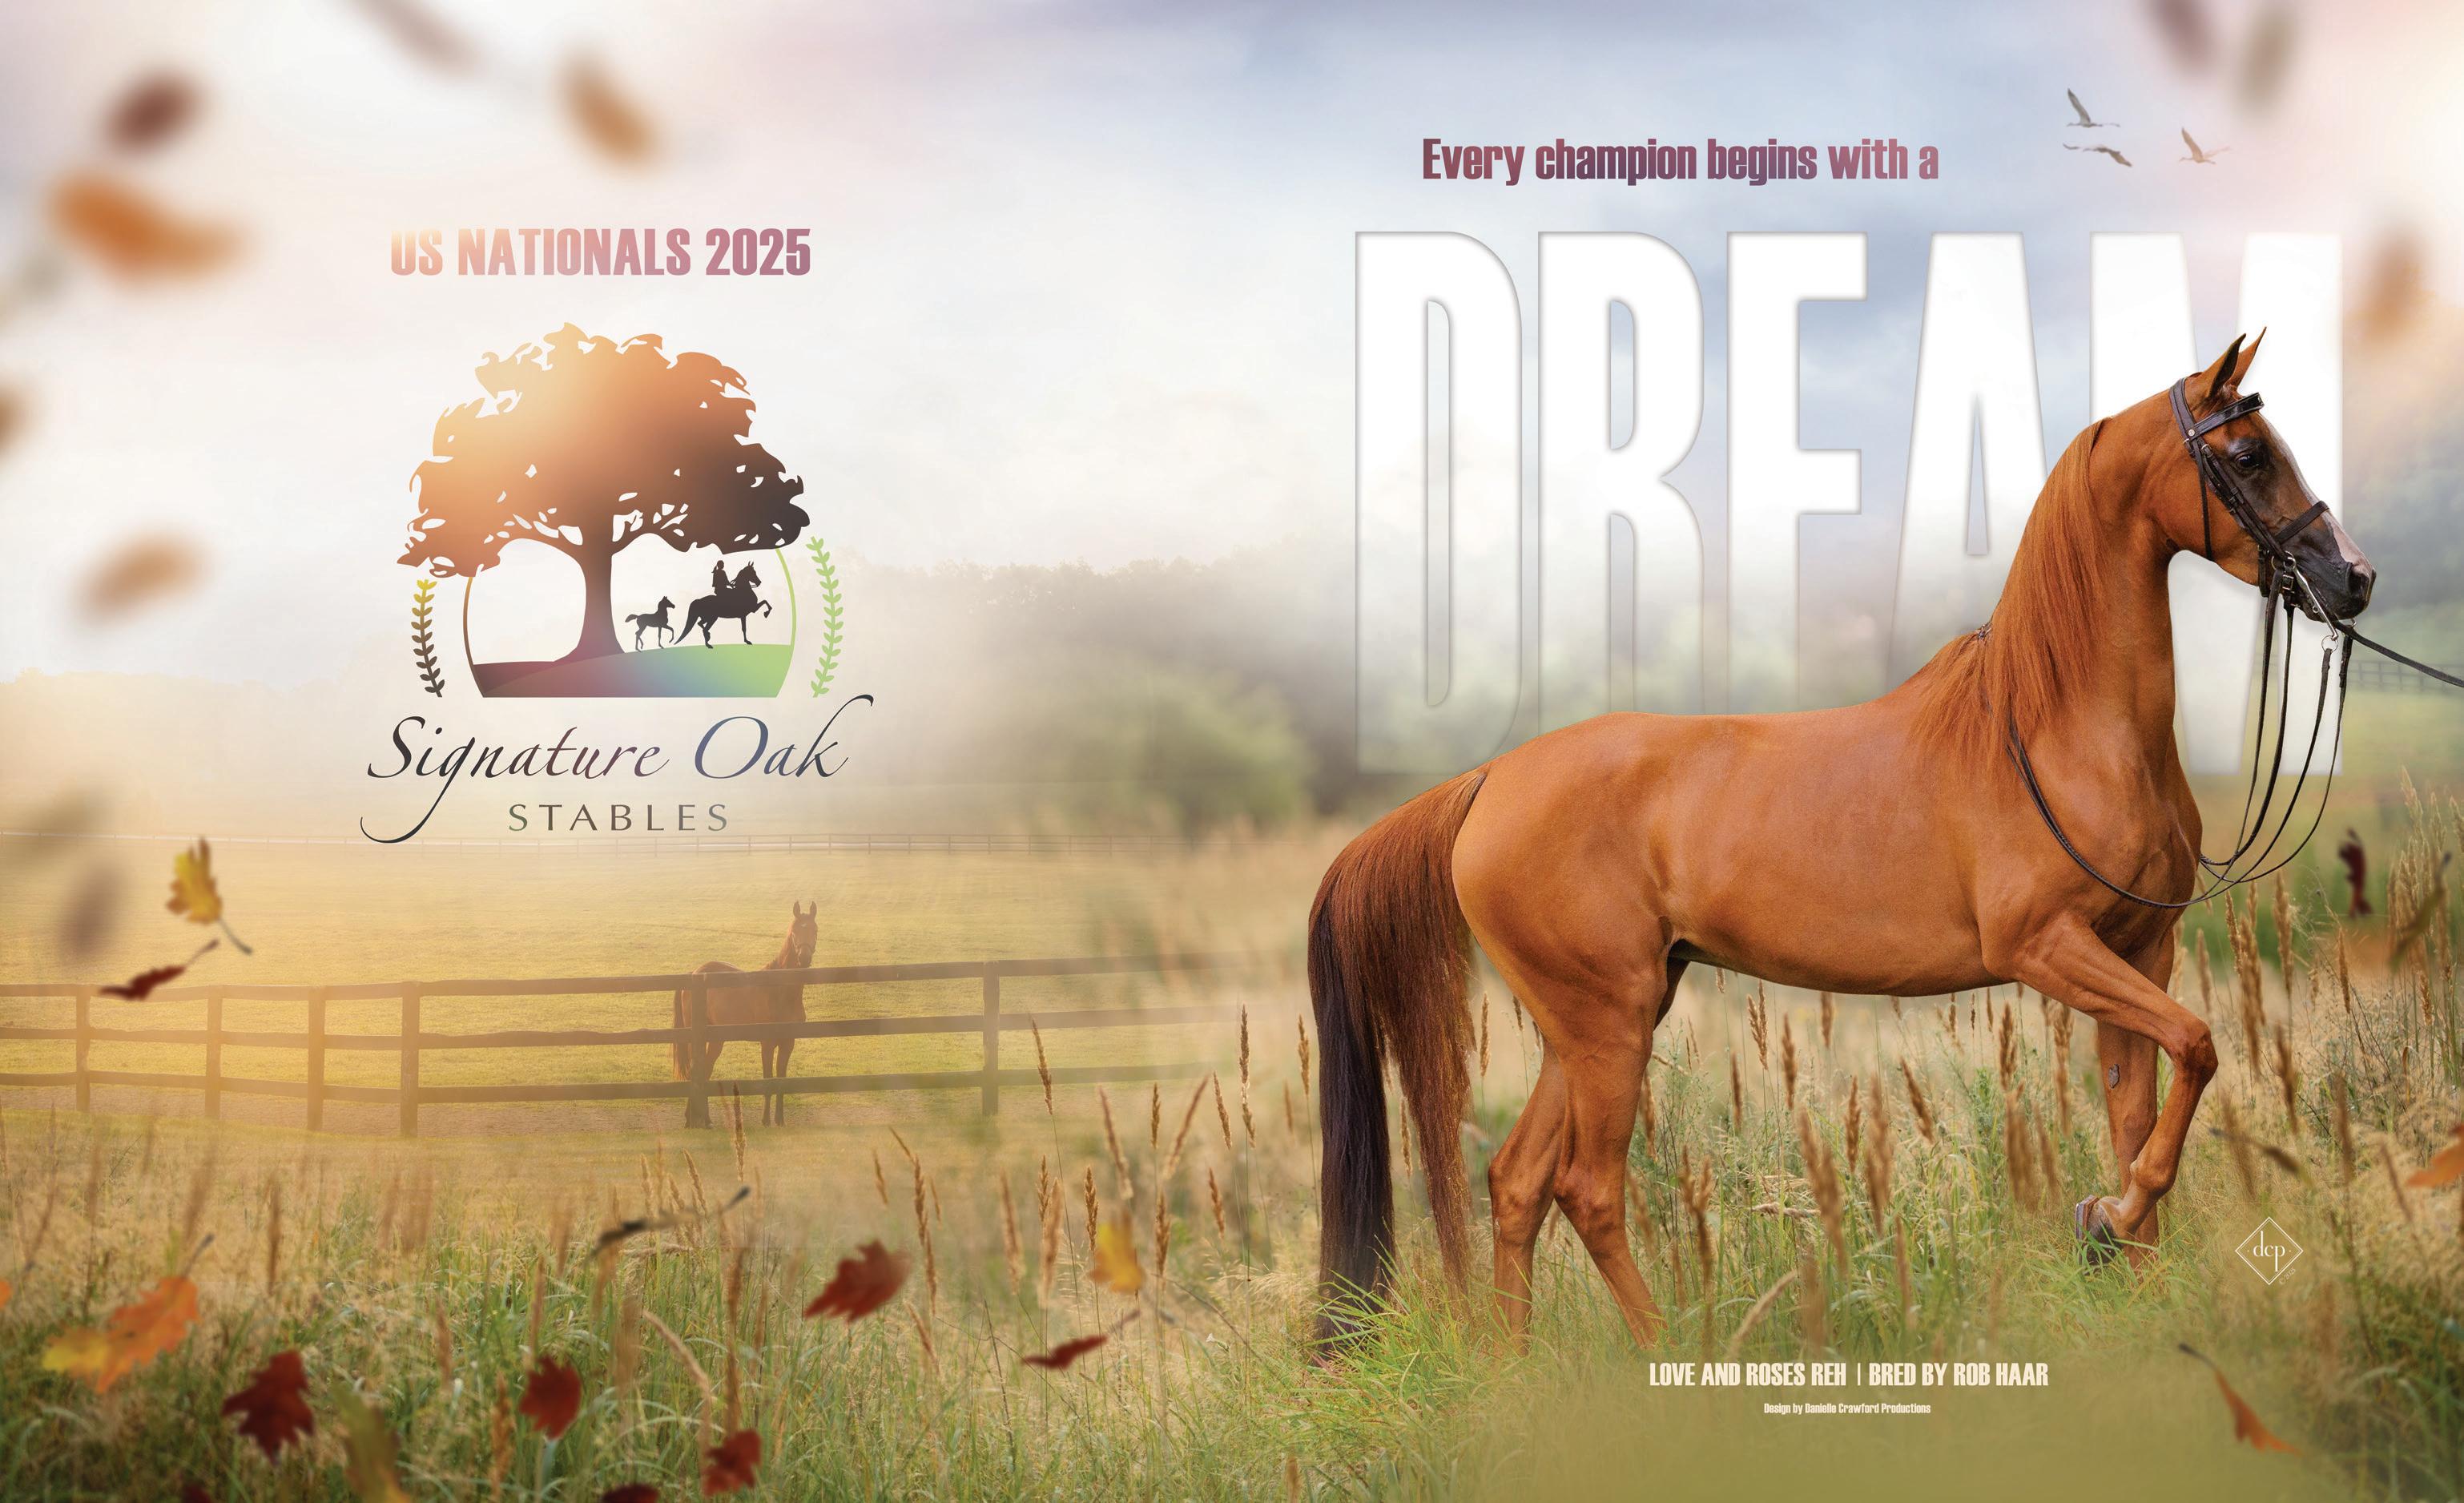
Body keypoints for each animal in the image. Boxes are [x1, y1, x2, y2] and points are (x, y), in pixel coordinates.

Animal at [670, 900, 819, 1125]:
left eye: (814, 930)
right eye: (794, 931)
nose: (804, 958)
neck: (780, 991)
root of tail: (695, 973)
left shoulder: (788, 1043)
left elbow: (781, 1079)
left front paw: (780, 1120)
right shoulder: (767, 1043)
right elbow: (768, 1079)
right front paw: (766, 1121)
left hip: (716, 1039)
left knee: (705, 1070)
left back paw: (705, 1119)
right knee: (696, 1071)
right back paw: (691, 1120)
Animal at [1306, 335, 2375, 1350]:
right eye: (2248, 453)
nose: (2351, 578)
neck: (2059, 731)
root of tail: (1487, 784)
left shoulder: (2136, 951)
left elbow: (2141, 1112)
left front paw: (2125, 1256)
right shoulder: (2047, 949)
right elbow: (2196, 1048)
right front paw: (2105, 1223)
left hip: (1598, 1021)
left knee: (1518, 1182)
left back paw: (1520, 1369)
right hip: (1606, 1025)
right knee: (1587, 1188)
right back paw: (1671, 1358)